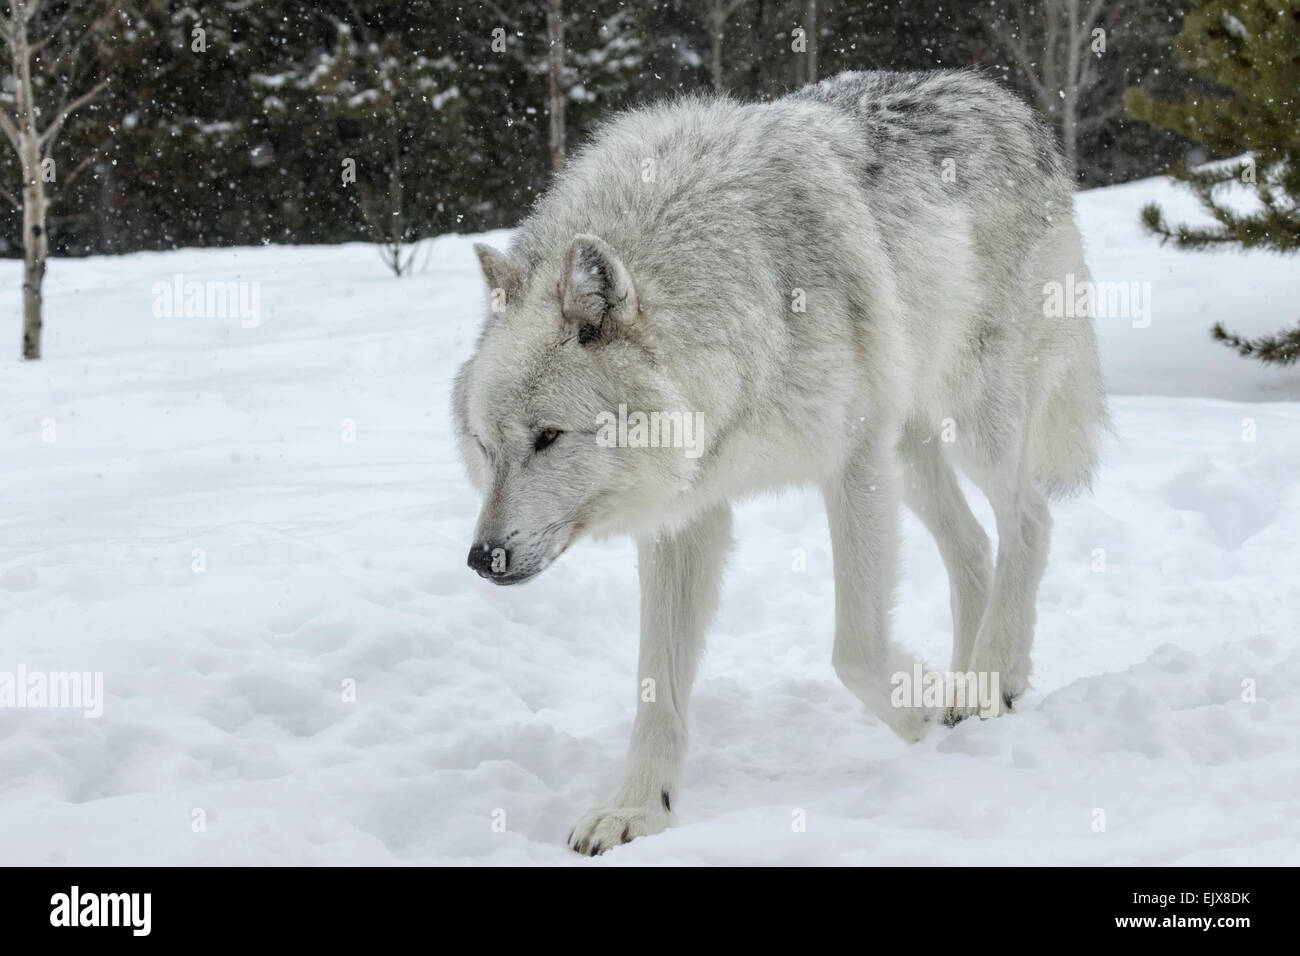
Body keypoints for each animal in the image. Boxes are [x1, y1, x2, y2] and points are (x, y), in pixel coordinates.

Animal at [453, 70, 1108, 855]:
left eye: (549, 437)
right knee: (976, 547)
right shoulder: (688, 515)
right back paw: (971, 682)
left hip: (974, 421)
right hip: (913, 452)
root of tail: (1005, 101)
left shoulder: (853, 462)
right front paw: (639, 811)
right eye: (485, 447)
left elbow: (855, 651)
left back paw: (986, 681)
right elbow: (656, 687)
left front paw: (922, 710)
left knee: (1030, 522)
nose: (482, 558)